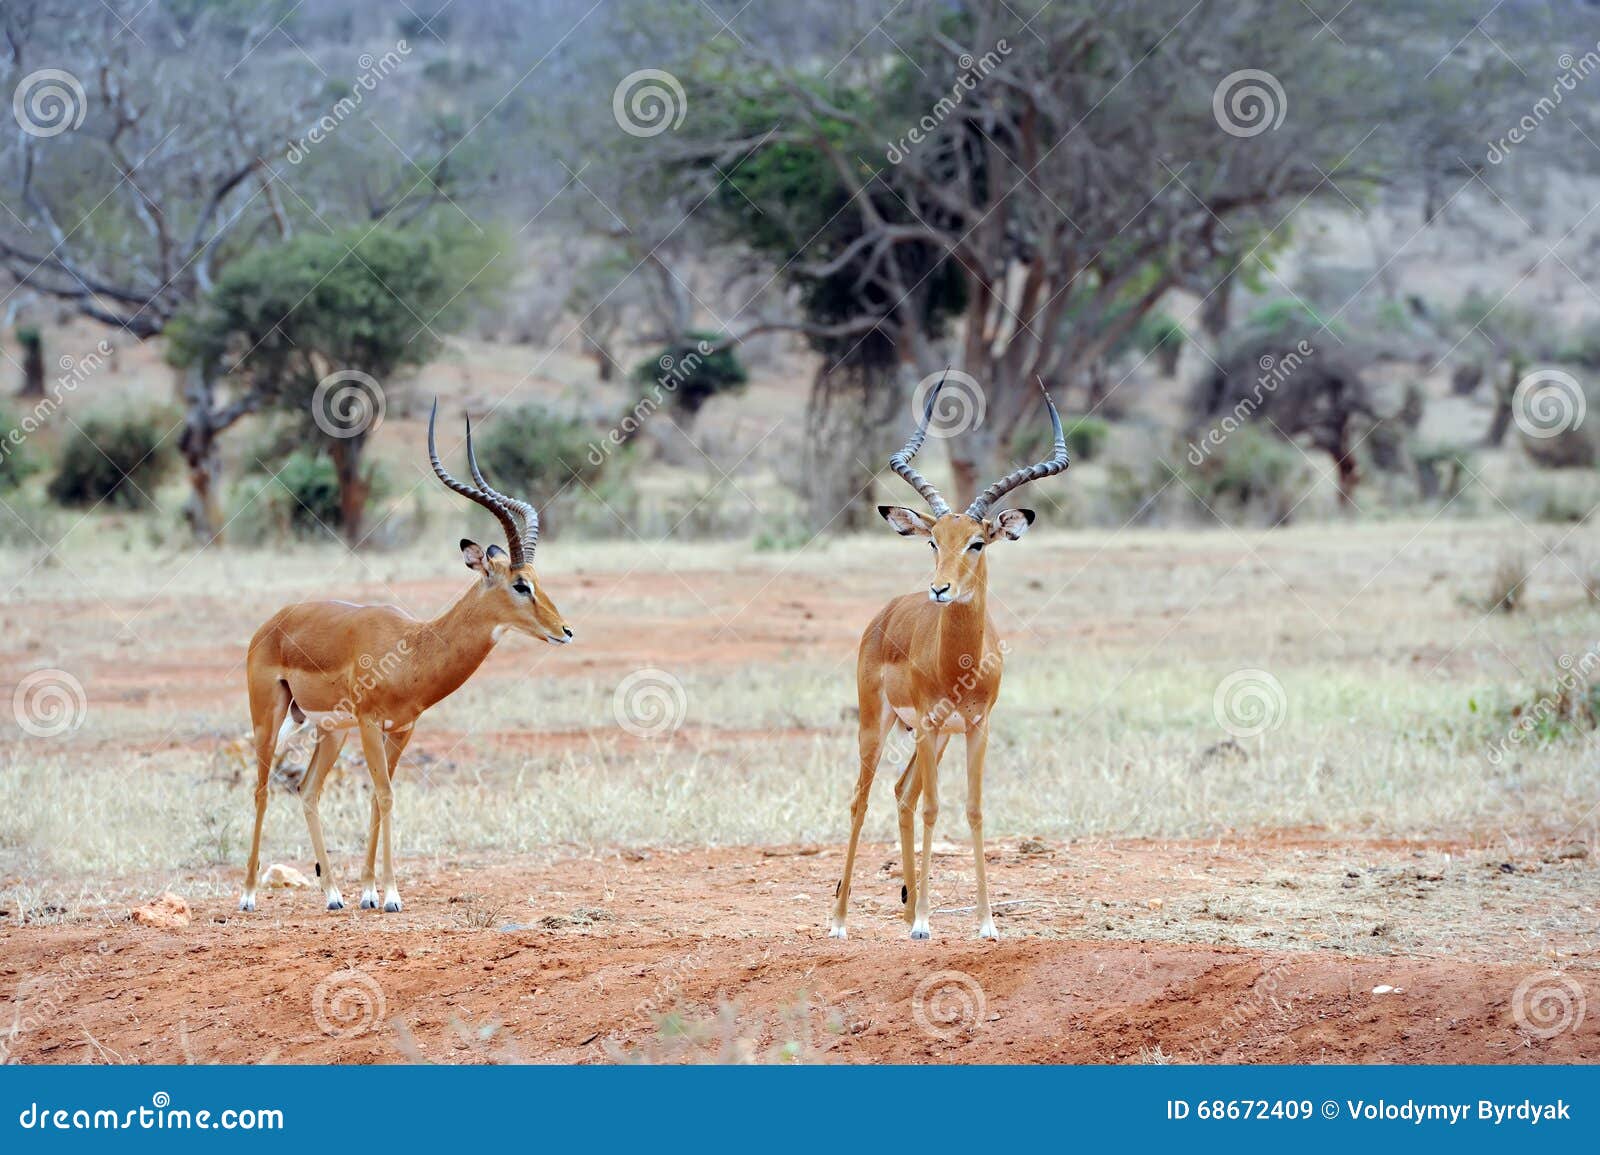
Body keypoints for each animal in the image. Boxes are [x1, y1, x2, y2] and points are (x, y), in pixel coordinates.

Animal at [238, 401, 573, 914]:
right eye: (520, 585)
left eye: (538, 580)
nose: (565, 631)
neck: (413, 648)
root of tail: (271, 624)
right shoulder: (371, 724)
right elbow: (386, 795)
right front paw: (392, 896)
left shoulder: (401, 730)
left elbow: (380, 799)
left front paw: (369, 892)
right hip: (269, 716)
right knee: (260, 789)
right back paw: (249, 896)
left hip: (330, 731)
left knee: (308, 790)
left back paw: (333, 895)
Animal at [830, 378, 1068, 941]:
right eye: (933, 541)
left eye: (978, 542)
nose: (939, 589)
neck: (959, 662)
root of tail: (884, 615)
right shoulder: (932, 722)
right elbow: (936, 810)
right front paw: (923, 924)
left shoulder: (976, 726)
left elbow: (973, 809)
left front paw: (985, 923)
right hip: (881, 724)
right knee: (863, 799)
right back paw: (843, 921)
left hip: (928, 738)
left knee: (902, 793)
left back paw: (907, 905)